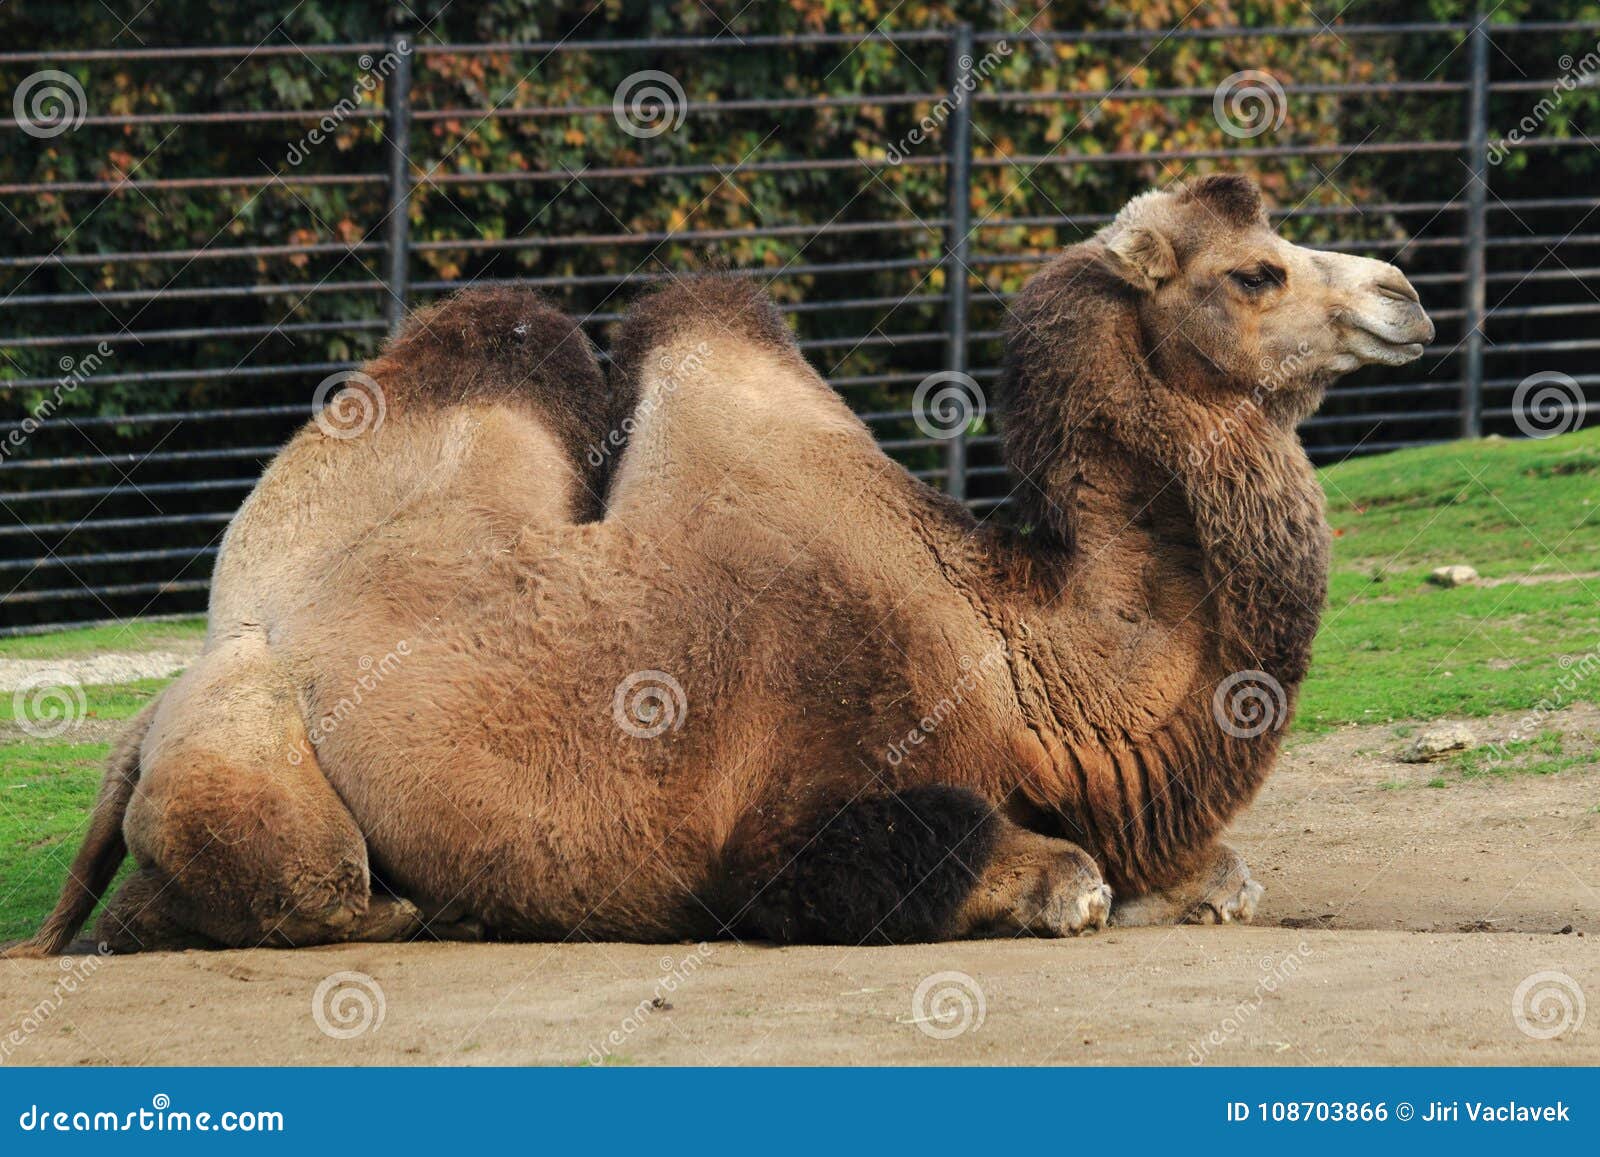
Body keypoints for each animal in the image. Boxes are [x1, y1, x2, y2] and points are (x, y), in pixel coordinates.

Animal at [9, 174, 1432, 954]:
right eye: (1255, 272)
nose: (1404, 292)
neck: (1018, 653)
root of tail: (151, 707)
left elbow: (1218, 874)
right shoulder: (781, 820)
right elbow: (1045, 868)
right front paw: (1068, 884)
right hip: (260, 771)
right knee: (293, 894)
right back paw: (433, 911)